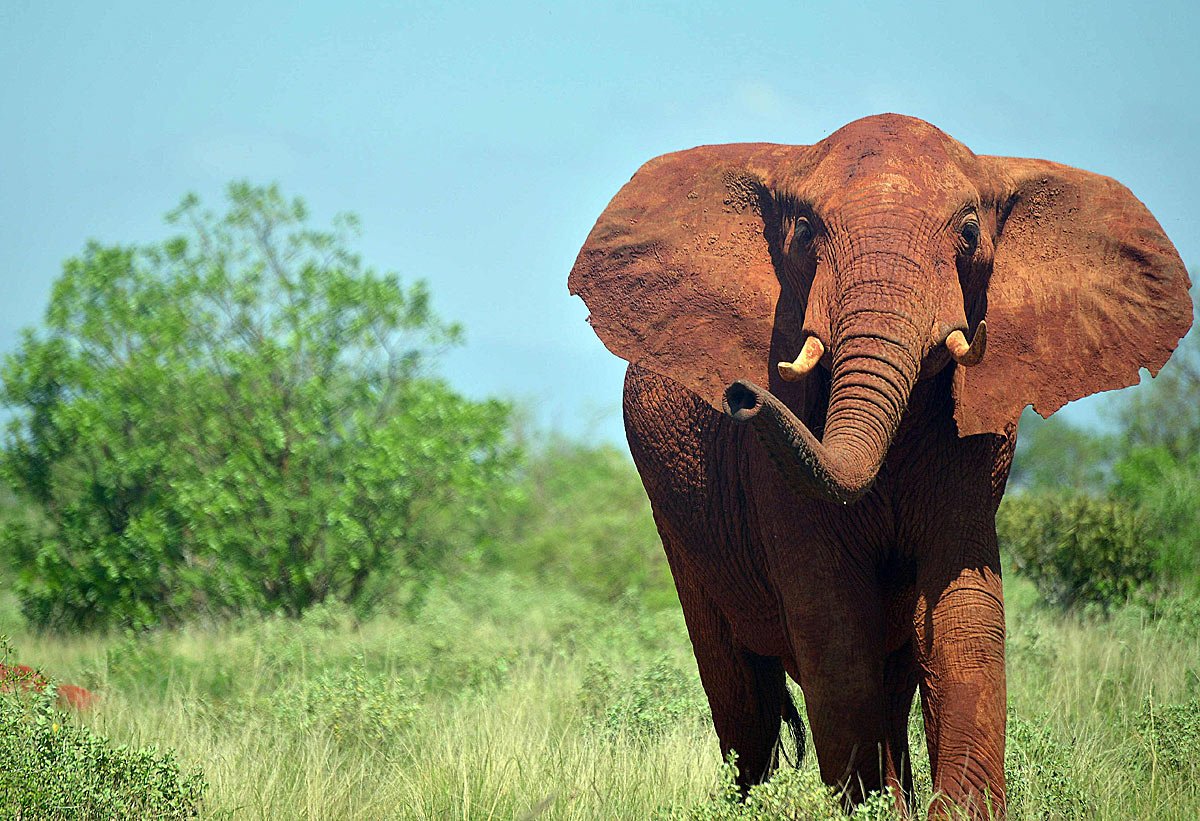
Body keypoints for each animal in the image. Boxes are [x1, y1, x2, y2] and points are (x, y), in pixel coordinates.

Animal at [568, 114, 1192, 819]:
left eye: (970, 233)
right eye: (803, 233)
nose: (742, 396)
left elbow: (963, 616)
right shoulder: (769, 468)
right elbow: (835, 628)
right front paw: (867, 806)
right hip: (680, 524)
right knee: (740, 693)